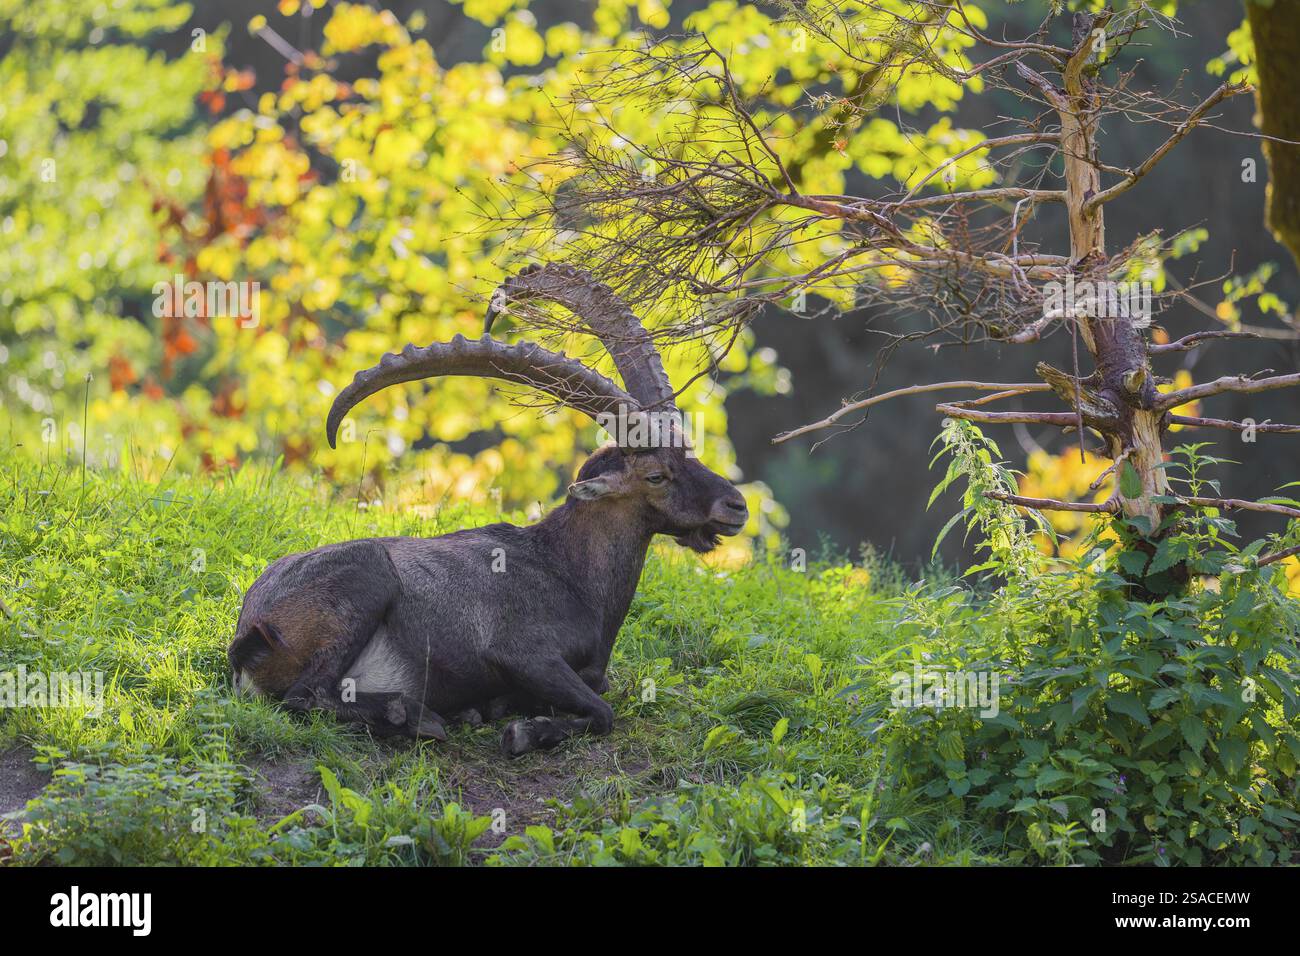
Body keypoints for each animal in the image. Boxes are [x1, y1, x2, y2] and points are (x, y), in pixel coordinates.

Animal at [228, 264, 748, 755]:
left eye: (689, 452)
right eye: (655, 475)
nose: (736, 506)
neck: (569, 571)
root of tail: (250, 634)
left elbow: (597, 691)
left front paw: (501, 711)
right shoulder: (521, 652)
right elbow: (602, 711)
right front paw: (525, 731)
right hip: (365, 576)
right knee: (306, 695)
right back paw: (416, 717)